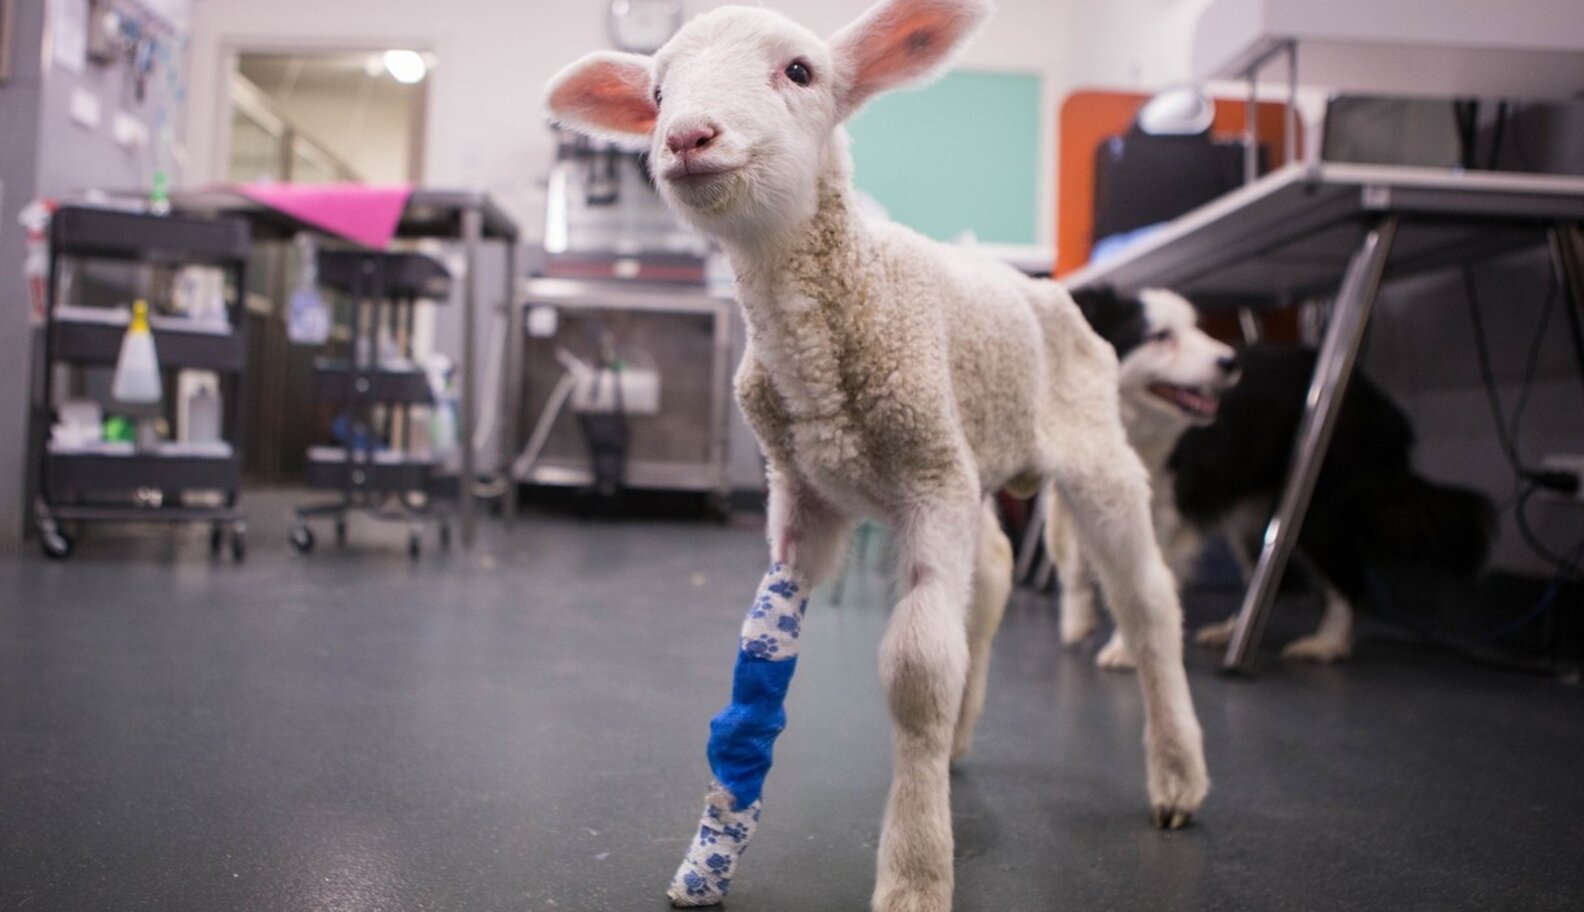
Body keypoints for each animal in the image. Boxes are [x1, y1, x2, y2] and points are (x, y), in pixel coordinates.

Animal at [545, 1, 1209, 909]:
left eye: (800, 71)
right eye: (654, 93)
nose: (685, 136)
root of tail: (1043, 288)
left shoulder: (927, 477)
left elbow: (917, 671)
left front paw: (917, 872)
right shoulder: (803, 491)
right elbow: (761, 654)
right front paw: (711, 854)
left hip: (1089, 450)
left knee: (1148, 601)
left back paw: (1176, 776)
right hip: (971, 456)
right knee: (992, 576)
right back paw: (962, 739)